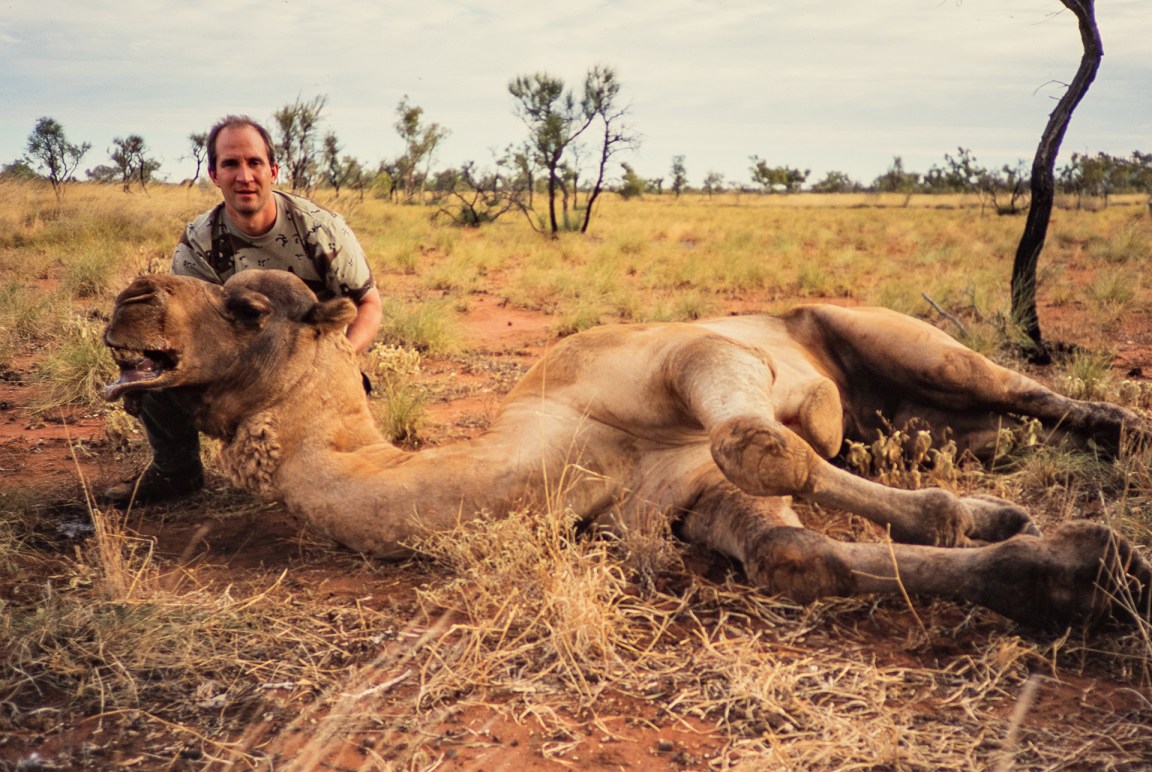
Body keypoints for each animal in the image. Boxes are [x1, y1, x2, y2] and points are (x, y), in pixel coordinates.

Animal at [102, 270, 1151, 629]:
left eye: (246, 305)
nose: (129, 298)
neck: (549, 458)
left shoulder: (683, 355)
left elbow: (758, 441)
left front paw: (1001, 524)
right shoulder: (673, 503)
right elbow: (790, 551)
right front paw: (1072, 572)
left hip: (902, 337)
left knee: (1027, 389)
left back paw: (1120, 433)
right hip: (920, 417)